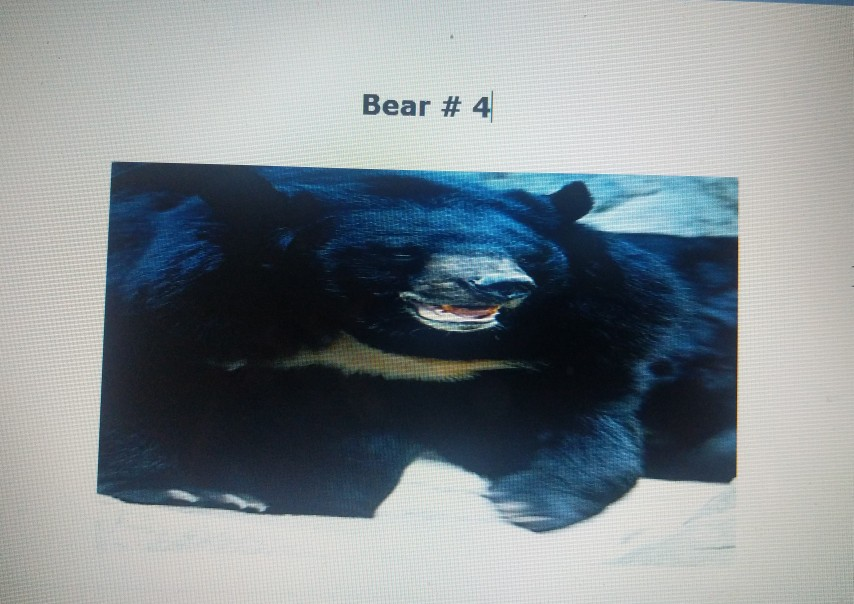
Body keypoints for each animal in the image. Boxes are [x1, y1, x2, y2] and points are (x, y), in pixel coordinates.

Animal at [97, 163, 737, 532]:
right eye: (405, 251)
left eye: (527, 255)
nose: (502, 284)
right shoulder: (187, 300)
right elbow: (151, 393)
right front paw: (190, 489)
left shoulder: (577, 338)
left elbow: (586, 422)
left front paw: (526, 502)